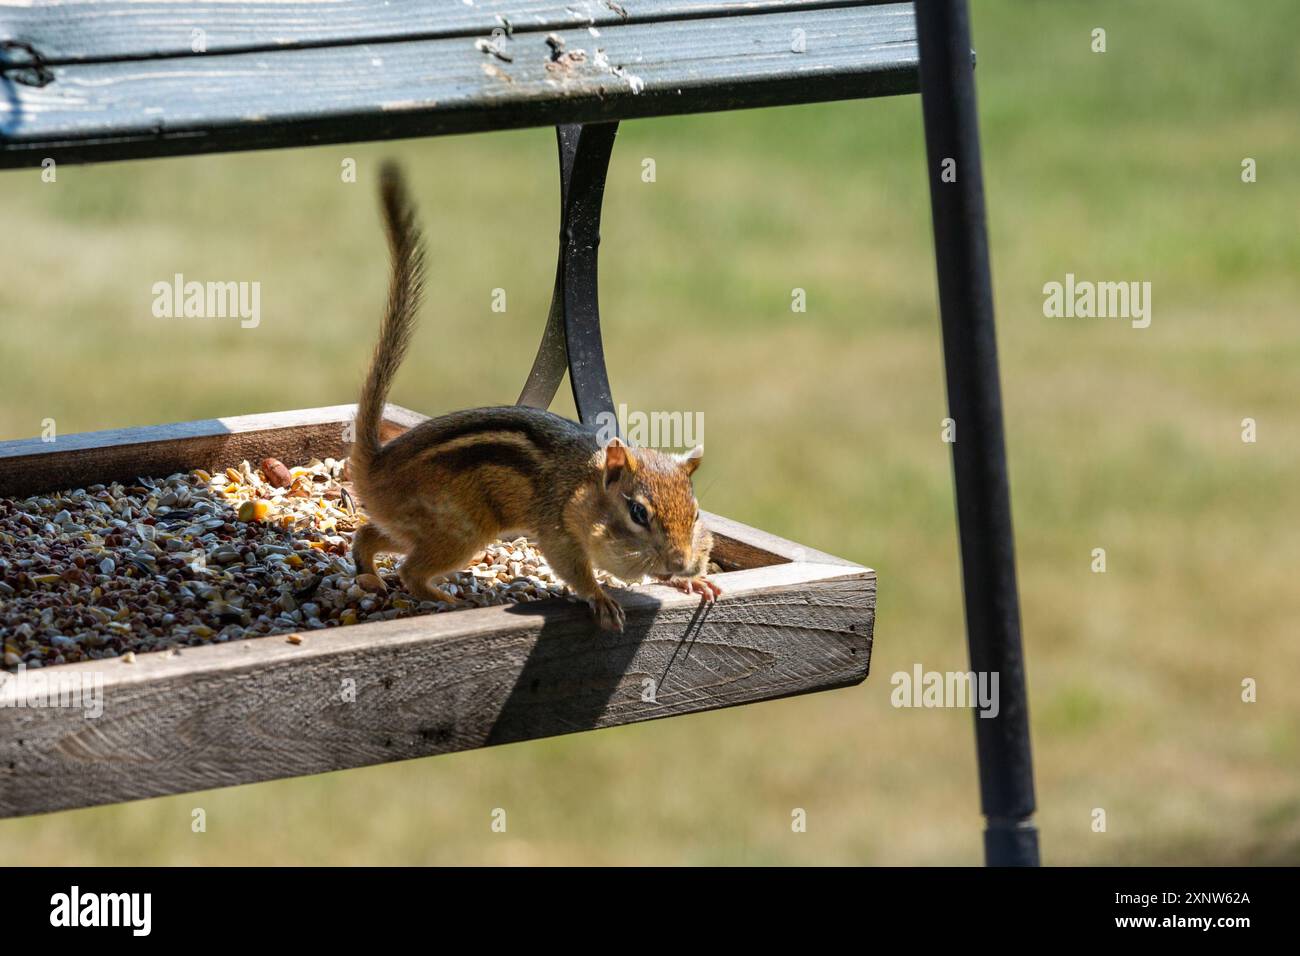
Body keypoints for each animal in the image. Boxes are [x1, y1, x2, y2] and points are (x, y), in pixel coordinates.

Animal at [348, 163, 720, 632]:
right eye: (638, 513)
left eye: (695, 512)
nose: (681, 562)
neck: (587, 480)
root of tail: (376, 466)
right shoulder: (560, 526)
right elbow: (574, 567)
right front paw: (602, 599)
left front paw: (694, 581)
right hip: (460, 531)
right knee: (411, 572)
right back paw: (448, 602)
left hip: (413, 527)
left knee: (369, 534)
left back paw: (369, 573)